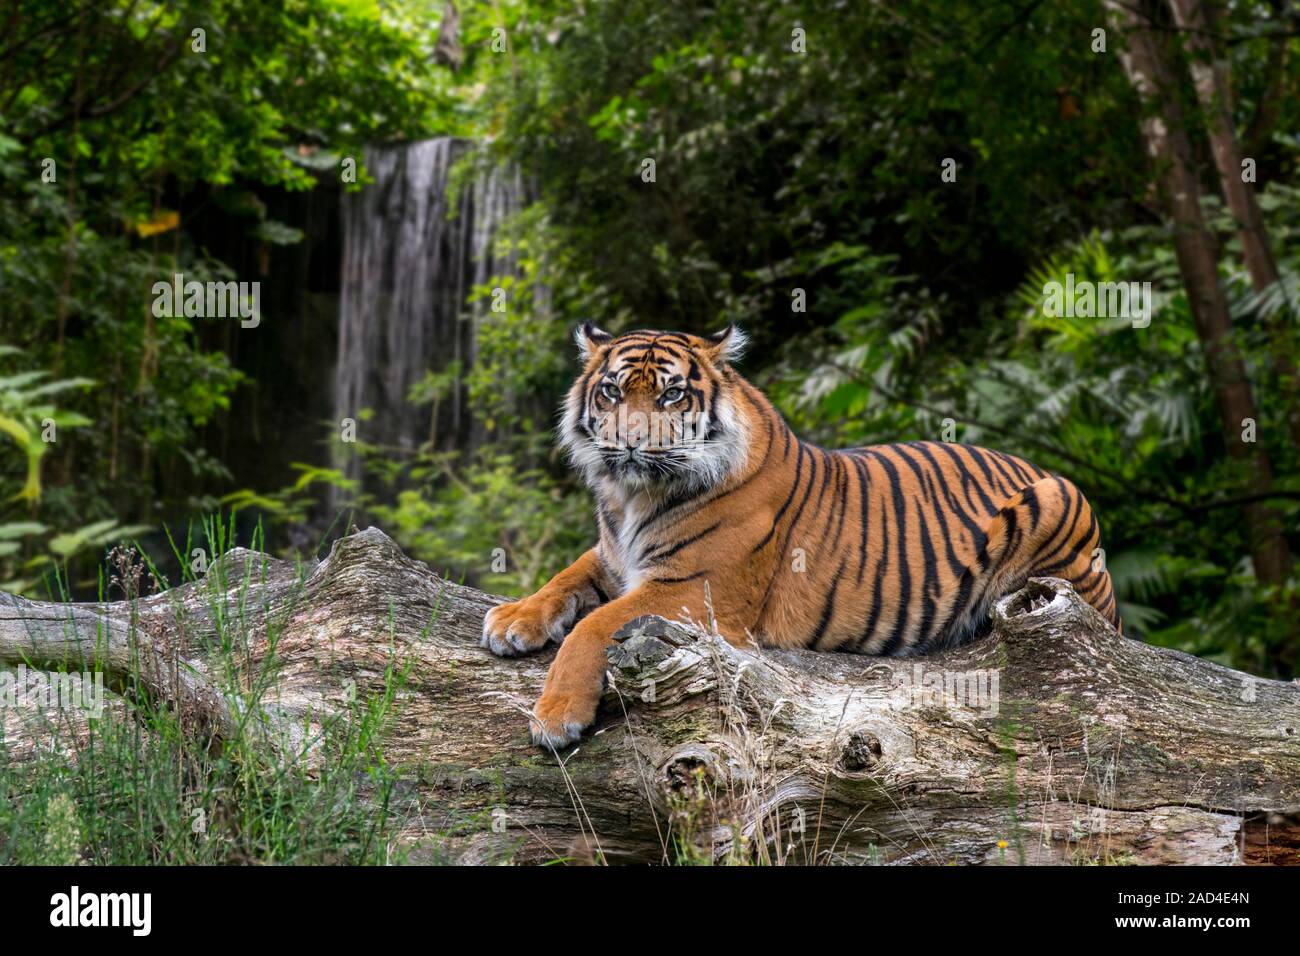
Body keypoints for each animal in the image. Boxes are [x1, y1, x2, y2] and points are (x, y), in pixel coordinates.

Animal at [482, 324, 1121, 748]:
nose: (630, 441)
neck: (633, 496)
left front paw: (554, 716)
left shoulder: (695, 587)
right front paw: (514, 619)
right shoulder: (614, 556)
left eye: (671, 395)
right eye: (612, 391)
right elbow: (565, 577)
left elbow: (592, 626)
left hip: (1057, 499)